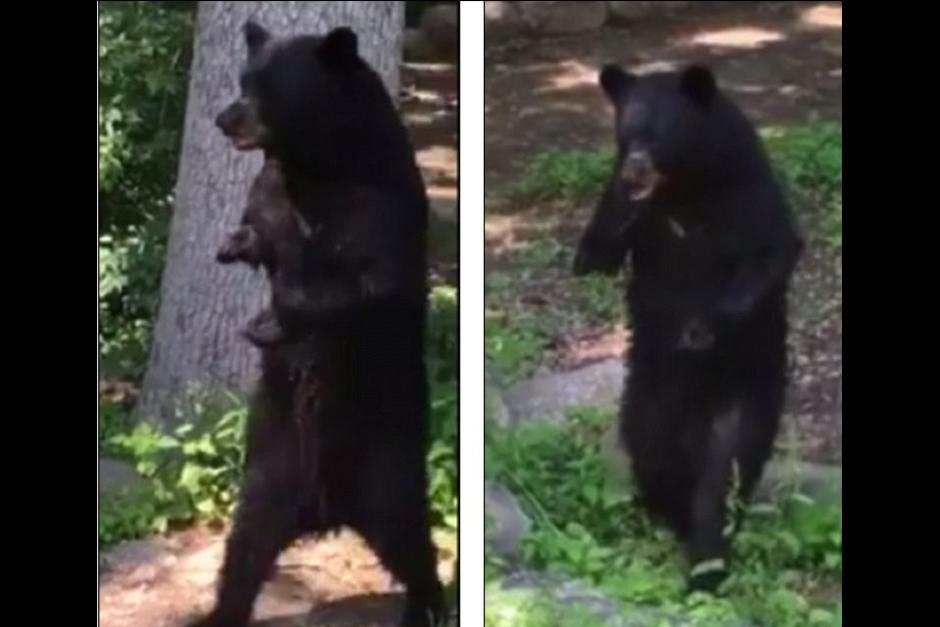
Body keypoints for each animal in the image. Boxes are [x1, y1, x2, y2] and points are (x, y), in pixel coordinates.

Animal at [188, 22, 444, 627]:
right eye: (244, 79)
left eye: (266, 87)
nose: (225, 117)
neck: (316, 166)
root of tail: (325, 508)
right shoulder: (273, 192)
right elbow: (261, 234)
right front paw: (234, 245)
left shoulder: (380, 204)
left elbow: (365, 286)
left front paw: (273, 320)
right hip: (268, 471)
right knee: (244, 550)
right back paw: (222, 611)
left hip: (387, 469)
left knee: (412, 544)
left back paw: (427, 607)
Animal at [573, 64, 803, 592]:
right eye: (627, 132)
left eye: (659, 135)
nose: (635, 168)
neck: (684, 187)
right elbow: (595, 256)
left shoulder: (744, 181)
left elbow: (771, 252)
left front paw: (703, 327)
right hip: (644, 400)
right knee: (654, 457)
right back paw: (668, 516)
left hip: (748, 386)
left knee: (723, 472)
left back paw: (707, 562)